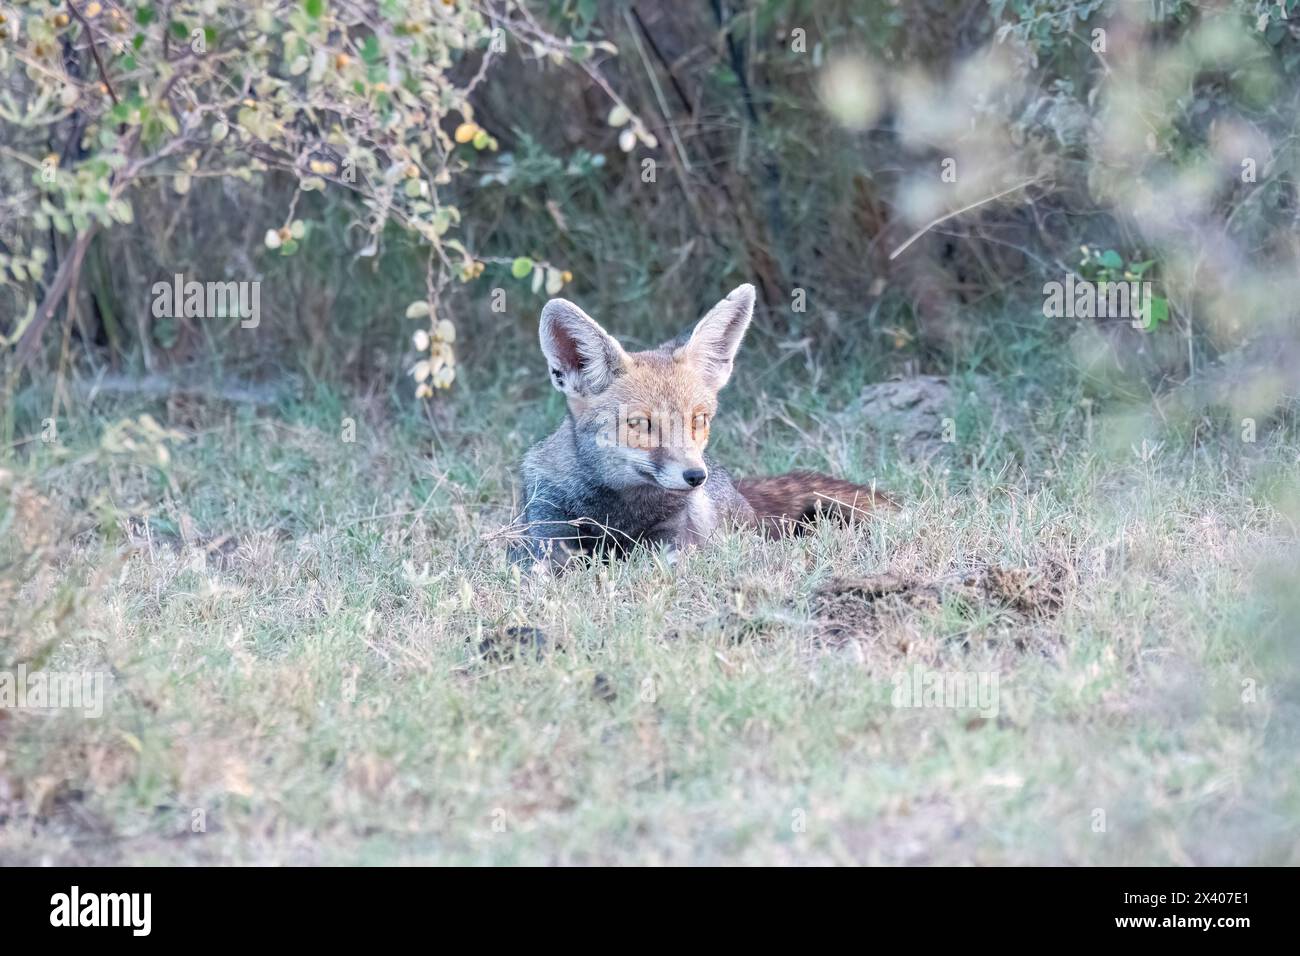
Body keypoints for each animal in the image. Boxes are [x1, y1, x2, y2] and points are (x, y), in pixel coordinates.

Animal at [510, 283, 893, 571]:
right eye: (640, 424)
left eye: (699, 420)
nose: (696, 476)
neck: (617, 515)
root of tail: (737, 487)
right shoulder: (547, 533)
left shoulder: (673, 538)